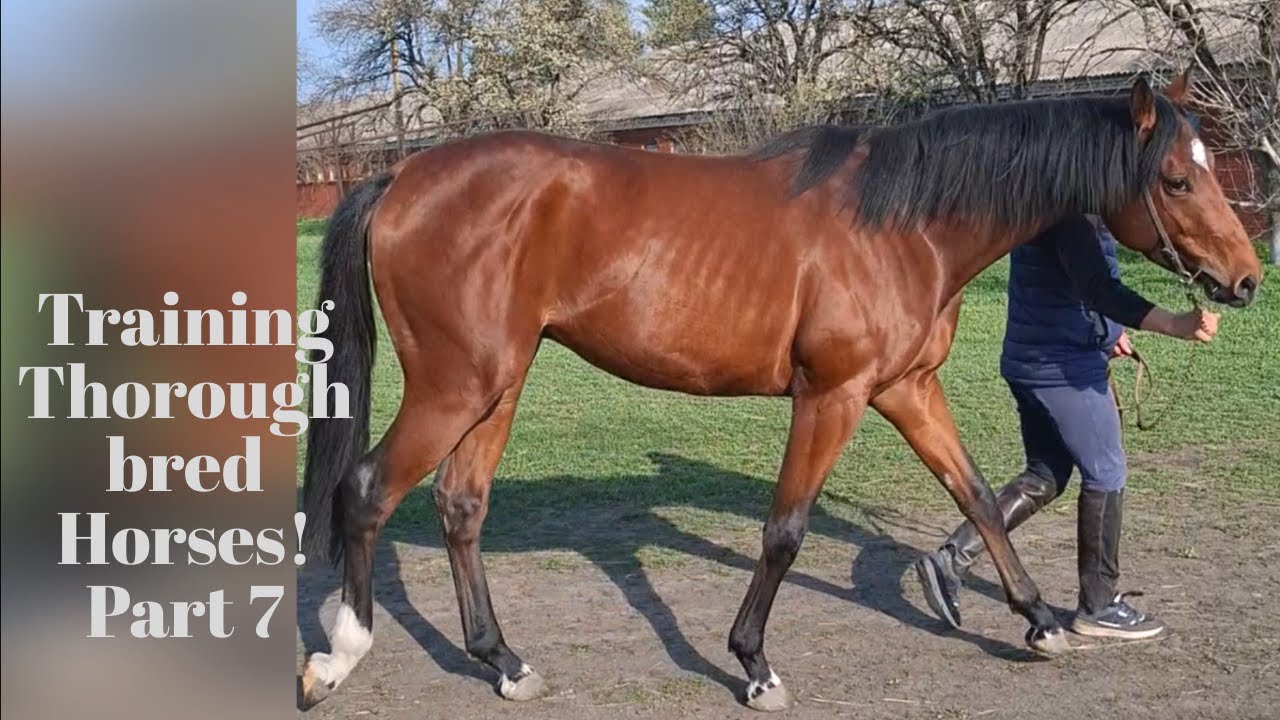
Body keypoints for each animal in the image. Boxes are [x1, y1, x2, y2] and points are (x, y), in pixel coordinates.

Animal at [299, 71, 1261, 712]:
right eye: (1176, 177)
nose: (1245, 279)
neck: (903, 224)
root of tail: (401, 178)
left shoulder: (908, 390)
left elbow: (982, 497)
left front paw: (1040, 620)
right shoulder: (832, 396)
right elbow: (785, 531)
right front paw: (754, 664)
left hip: (499, 383)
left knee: (461, 505)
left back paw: (503, 662)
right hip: (455, 385)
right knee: (368, 491)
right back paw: (339, 655)